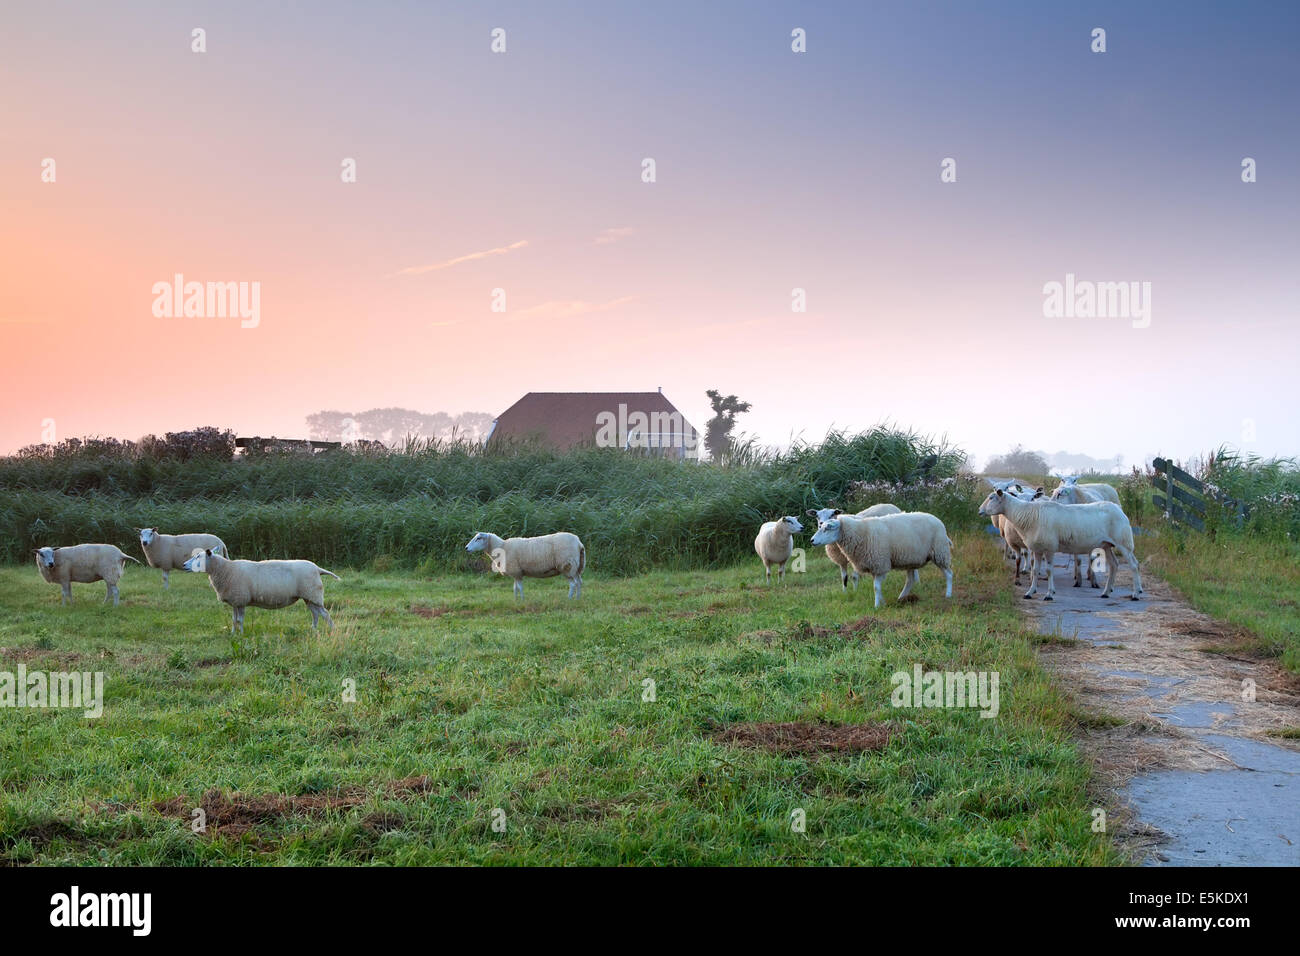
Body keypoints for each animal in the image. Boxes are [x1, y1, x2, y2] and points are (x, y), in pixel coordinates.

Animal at [181, 549, 340, 632]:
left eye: (198, 557)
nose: (183, 565)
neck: (225, 570)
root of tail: (318, 569)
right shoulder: (235, 601)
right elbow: (233, 620)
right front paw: (233, 633)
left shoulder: (241, 599)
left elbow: (240, 620)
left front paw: (241, 634)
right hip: (309, 596)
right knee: (316, 614)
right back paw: (313, 629)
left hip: (313, 594)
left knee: (325, 613)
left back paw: (332, 630)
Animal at [810, 512, 953, 609]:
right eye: (820, 526)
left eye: (827, 529)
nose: (811, 540)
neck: (860, 533)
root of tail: (938, 520)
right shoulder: (874, 565)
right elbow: (877, 587)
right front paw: (882, 602)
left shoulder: (880, 564)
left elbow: (876, 587)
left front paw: (877, 606)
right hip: (911, 558)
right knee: (910, 580)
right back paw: (901, 597)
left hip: (940, 552)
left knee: (949, 574)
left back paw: (948, 594)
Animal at [977, 488, 1142, 601]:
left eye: (991, 498)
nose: (979, 511)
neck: (1028, 515)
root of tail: (1119, 509)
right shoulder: (1037, 548)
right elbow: (1035, 570)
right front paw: (1029, 592)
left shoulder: (1049, 547)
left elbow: (1049, 570)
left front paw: (1049, 594)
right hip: (1107, 544)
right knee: (1114, 565)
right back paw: (1106, 593)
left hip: (1124, 542)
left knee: (1134, 565)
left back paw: (1136, 593)